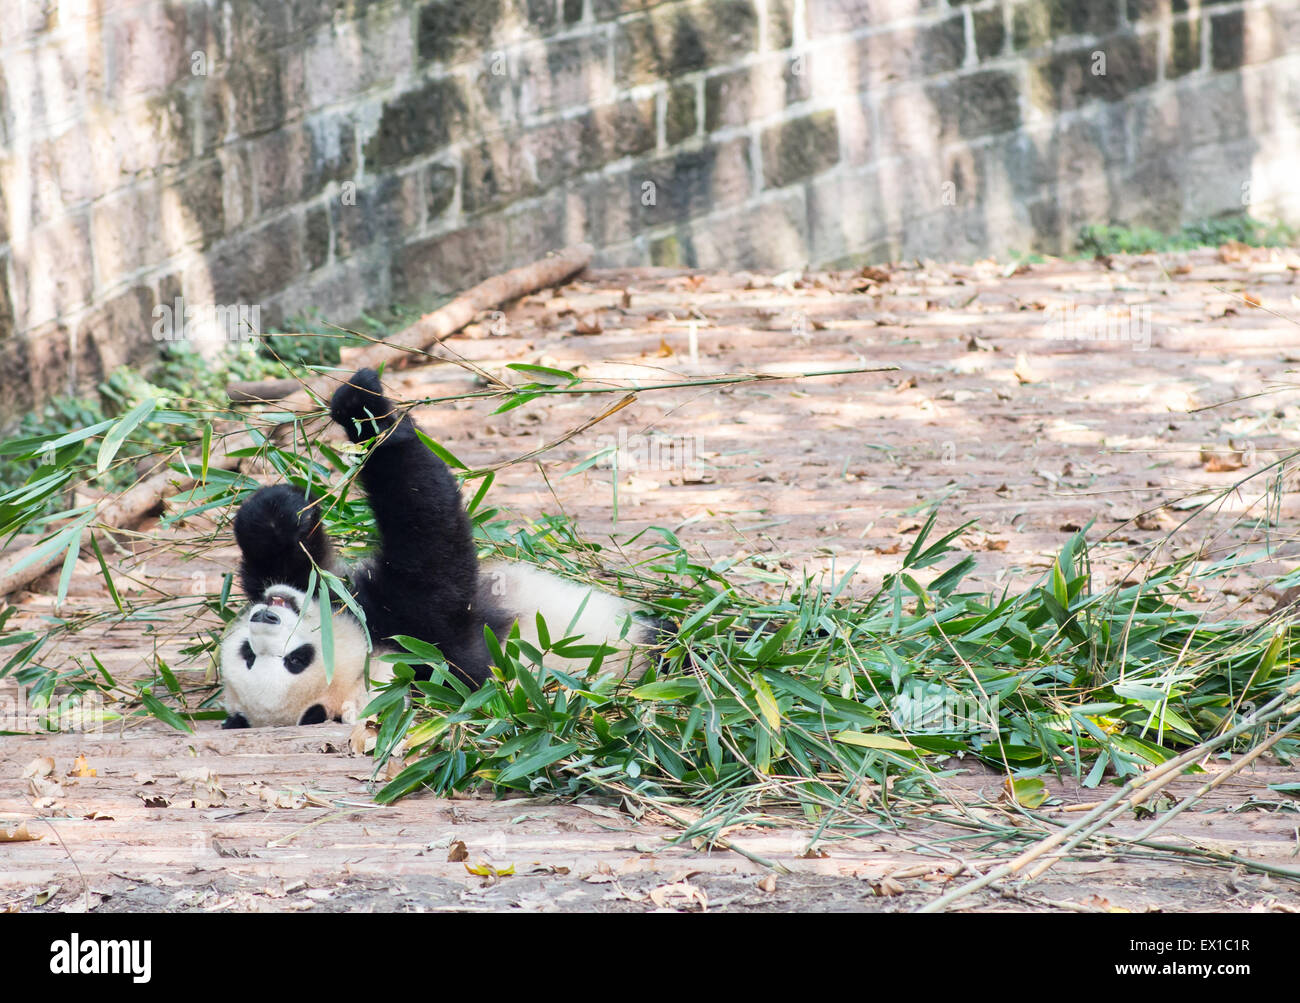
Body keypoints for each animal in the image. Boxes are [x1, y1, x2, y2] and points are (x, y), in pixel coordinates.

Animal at [218, 367, 663, 729]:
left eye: (250, 654)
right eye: (297, 660)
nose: (264, 618)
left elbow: (292, 566)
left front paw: (280, 510)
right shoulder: (428, 639)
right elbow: (429, 534)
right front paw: (369, 412)